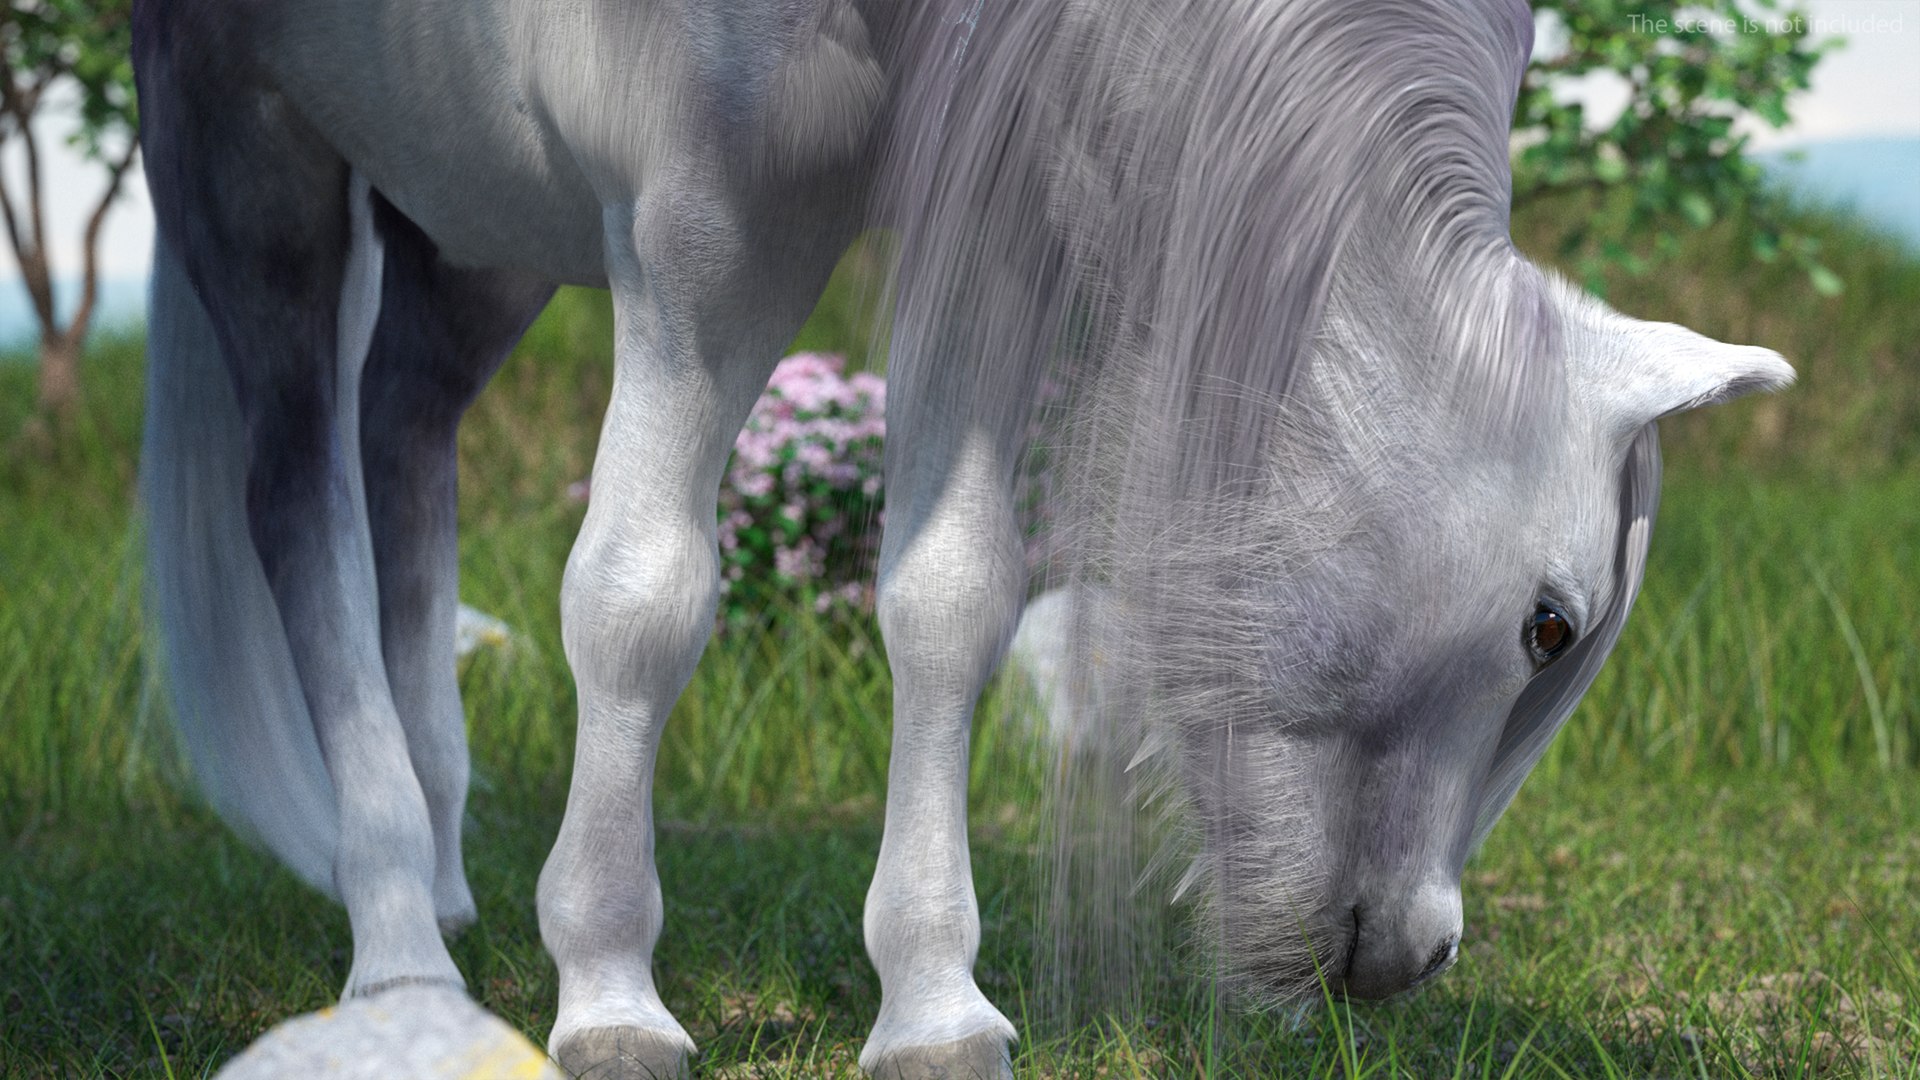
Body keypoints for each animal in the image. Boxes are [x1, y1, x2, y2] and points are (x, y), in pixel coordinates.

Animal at [132, 0, 1792, 1076]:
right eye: (1546, 624)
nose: (1411, 961)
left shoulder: (994, 229)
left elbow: (950, 600)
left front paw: (931, 1004)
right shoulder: (702, 228)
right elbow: (639, 597)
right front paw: (608, 994)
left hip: (467, 227)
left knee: (403, 434)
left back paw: (438, 877)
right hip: (249, 153)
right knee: (298, 495)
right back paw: (395, 946)